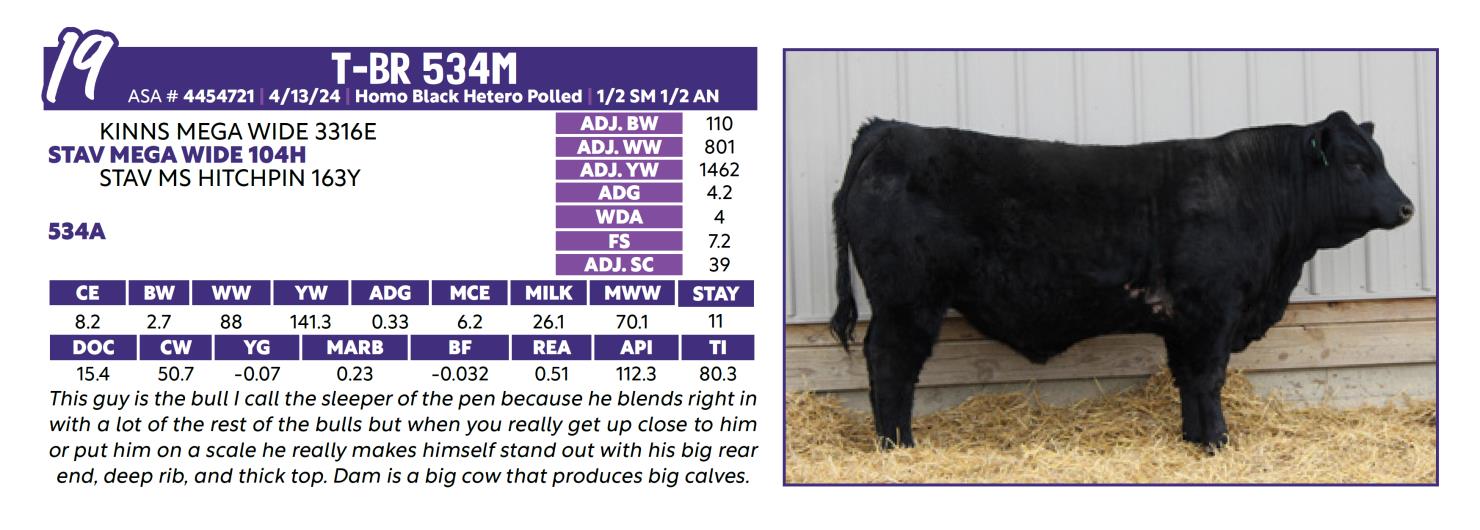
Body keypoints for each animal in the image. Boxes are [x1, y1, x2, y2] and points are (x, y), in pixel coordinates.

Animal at [829, 111, 1414, 452]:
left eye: (1379, 158)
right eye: (1356, 164)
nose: (1407, 207)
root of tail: (889, 129)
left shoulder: (1184, 323)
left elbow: (1188, 381)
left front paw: (1193, 438)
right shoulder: (1213, 314)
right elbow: (1209, 379)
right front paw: (1219, 443)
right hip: (907, 299)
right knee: (891, 363)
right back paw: (898, 445)